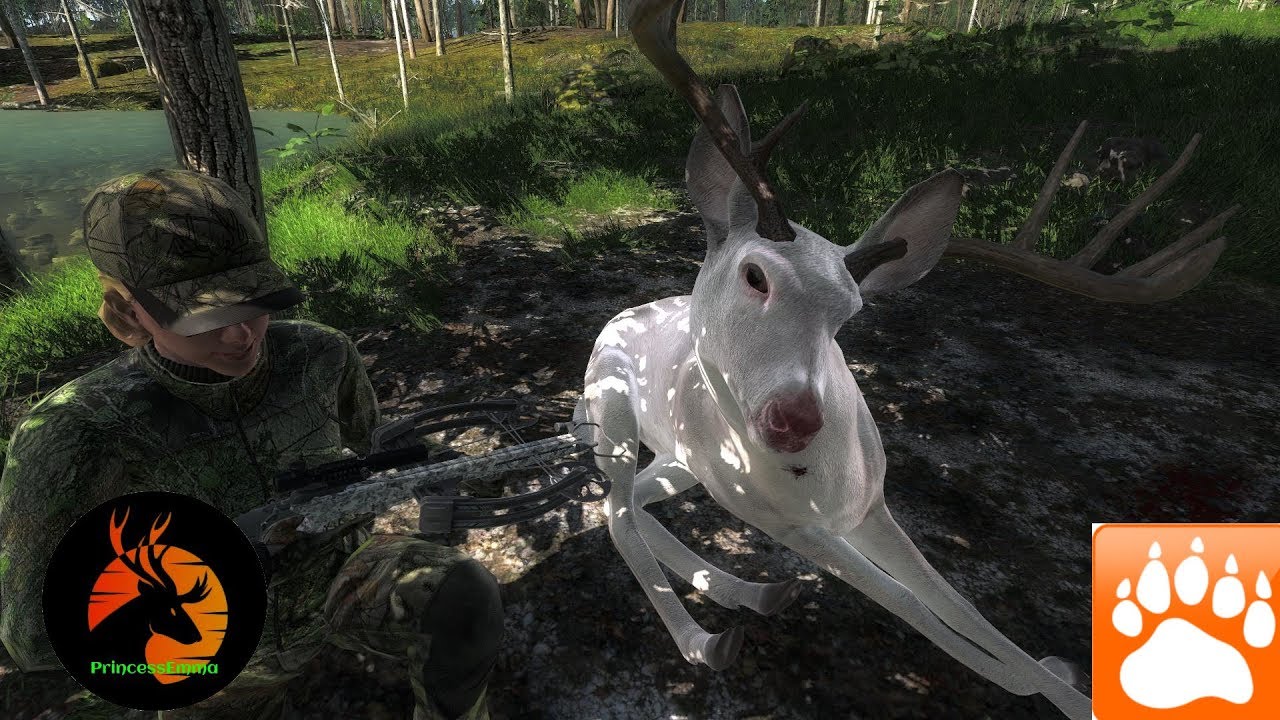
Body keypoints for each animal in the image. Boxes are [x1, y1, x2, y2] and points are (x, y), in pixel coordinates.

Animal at [571, 1, 1238, 718]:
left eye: (849, 315)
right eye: (755, 275)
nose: (794, 420)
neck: (817, 482)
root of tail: (625, 314)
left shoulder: (870, 506)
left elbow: (965, 614)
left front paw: (1058, 671)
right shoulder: (786, 523)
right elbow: (914, 609)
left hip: (685, 460)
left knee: (639, 502)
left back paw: (754, 595)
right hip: (615, 413)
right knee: (616, 512)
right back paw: (704, 641)